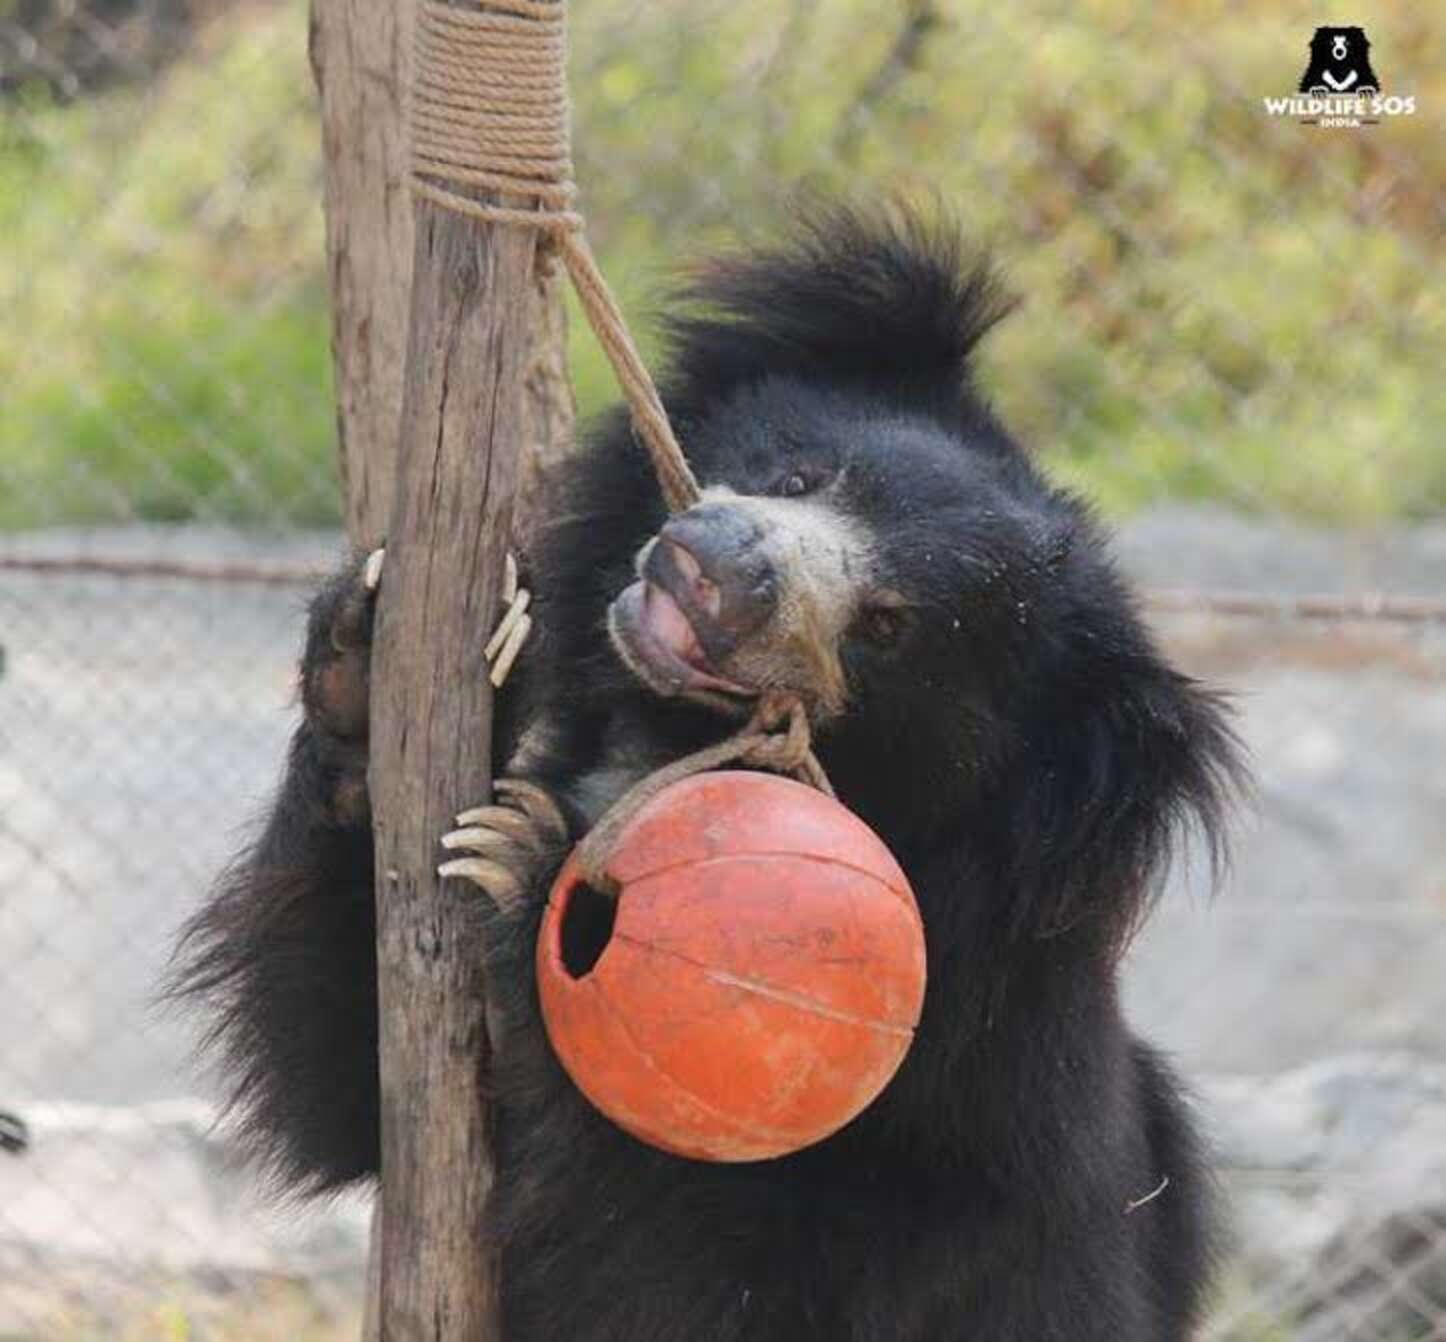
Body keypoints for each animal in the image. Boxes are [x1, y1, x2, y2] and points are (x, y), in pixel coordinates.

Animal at [172, 205, 1242, 1341]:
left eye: (889, 625)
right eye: (802, 475)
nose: (720, 569)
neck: (660, 737)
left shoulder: (959, 1093)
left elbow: (687, 1258)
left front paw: (535, 880)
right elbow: (350, 1080)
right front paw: (368, 663)